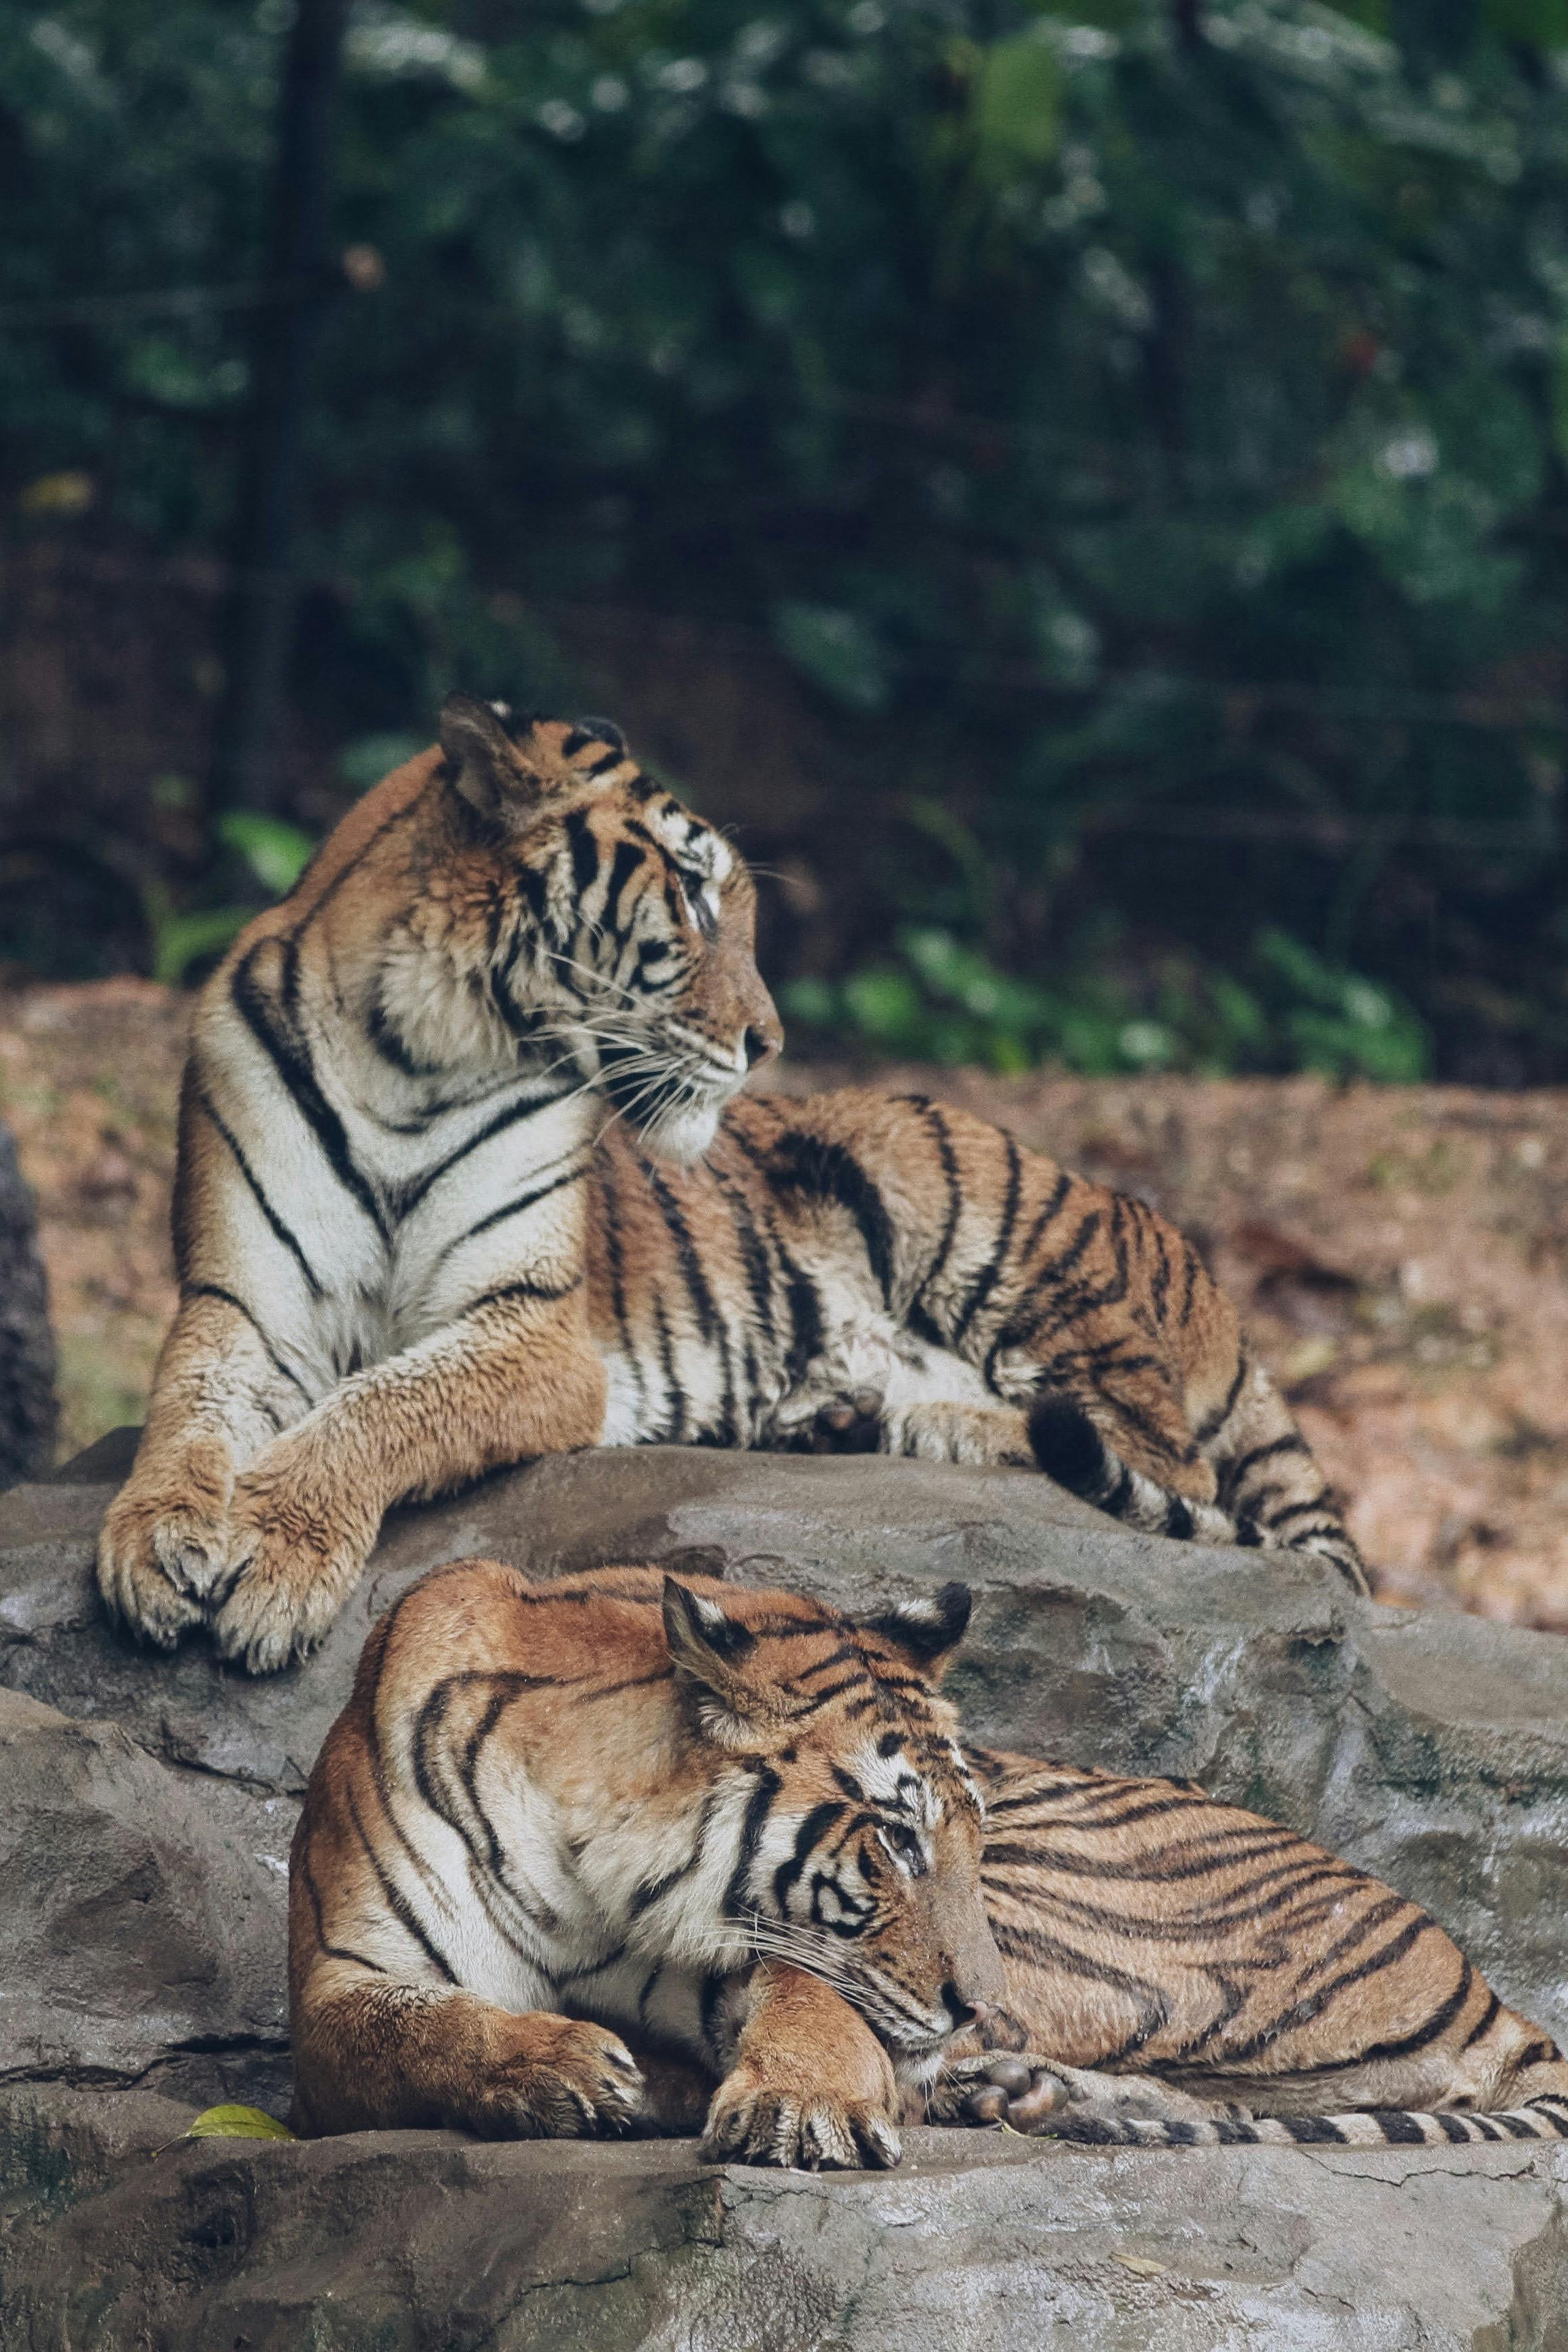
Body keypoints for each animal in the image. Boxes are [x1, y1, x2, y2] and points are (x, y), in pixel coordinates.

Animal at [98, 693, 1364, 1676]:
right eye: (696, 895)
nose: (772, 1042)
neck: (414, 1048)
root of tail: (1188, 1254)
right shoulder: (242, 1300)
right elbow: (186, 1407)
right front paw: (156, 1543)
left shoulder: (532, 1328)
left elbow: (379, 1406)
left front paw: (275, 1562)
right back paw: (836, 1417)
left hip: (983, 1221)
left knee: (1157, 1457)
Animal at [290, 1560, 1568, 2164]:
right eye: (894, 1839)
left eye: (967, 1834)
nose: (976, 2004)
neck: (590, 1869)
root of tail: (1494, 1996)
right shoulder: (336, 1981)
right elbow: (417, 2028)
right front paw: (559, 2068)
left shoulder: (781, 1957)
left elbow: (819, 2009)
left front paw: (795, 2106)